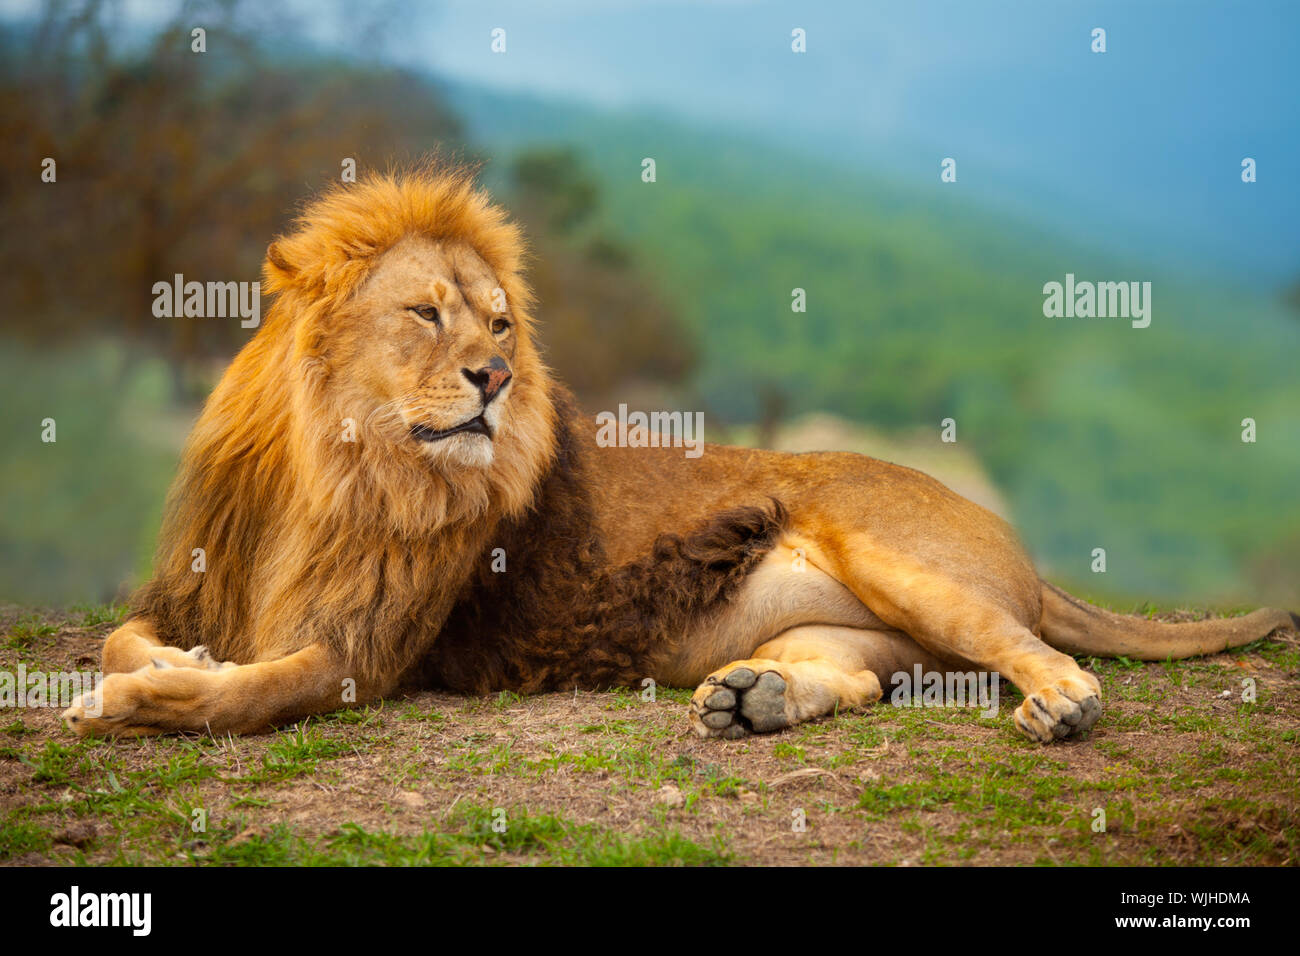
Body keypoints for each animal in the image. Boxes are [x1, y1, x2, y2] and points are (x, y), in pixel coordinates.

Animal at [63, 165, 1298, 743]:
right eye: (424, 313)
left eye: (500, 323)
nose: (494, 378)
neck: (337, 464)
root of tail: (1020, 546)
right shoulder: (194, 587)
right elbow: (131, 635)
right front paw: (171, 664)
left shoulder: (368, 648)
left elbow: (245, 696)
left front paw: (141, 701)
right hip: (856, 630)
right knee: (863, 674)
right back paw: (752, 701)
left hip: (893, 554)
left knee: (1034, 650)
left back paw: (1060, 707)